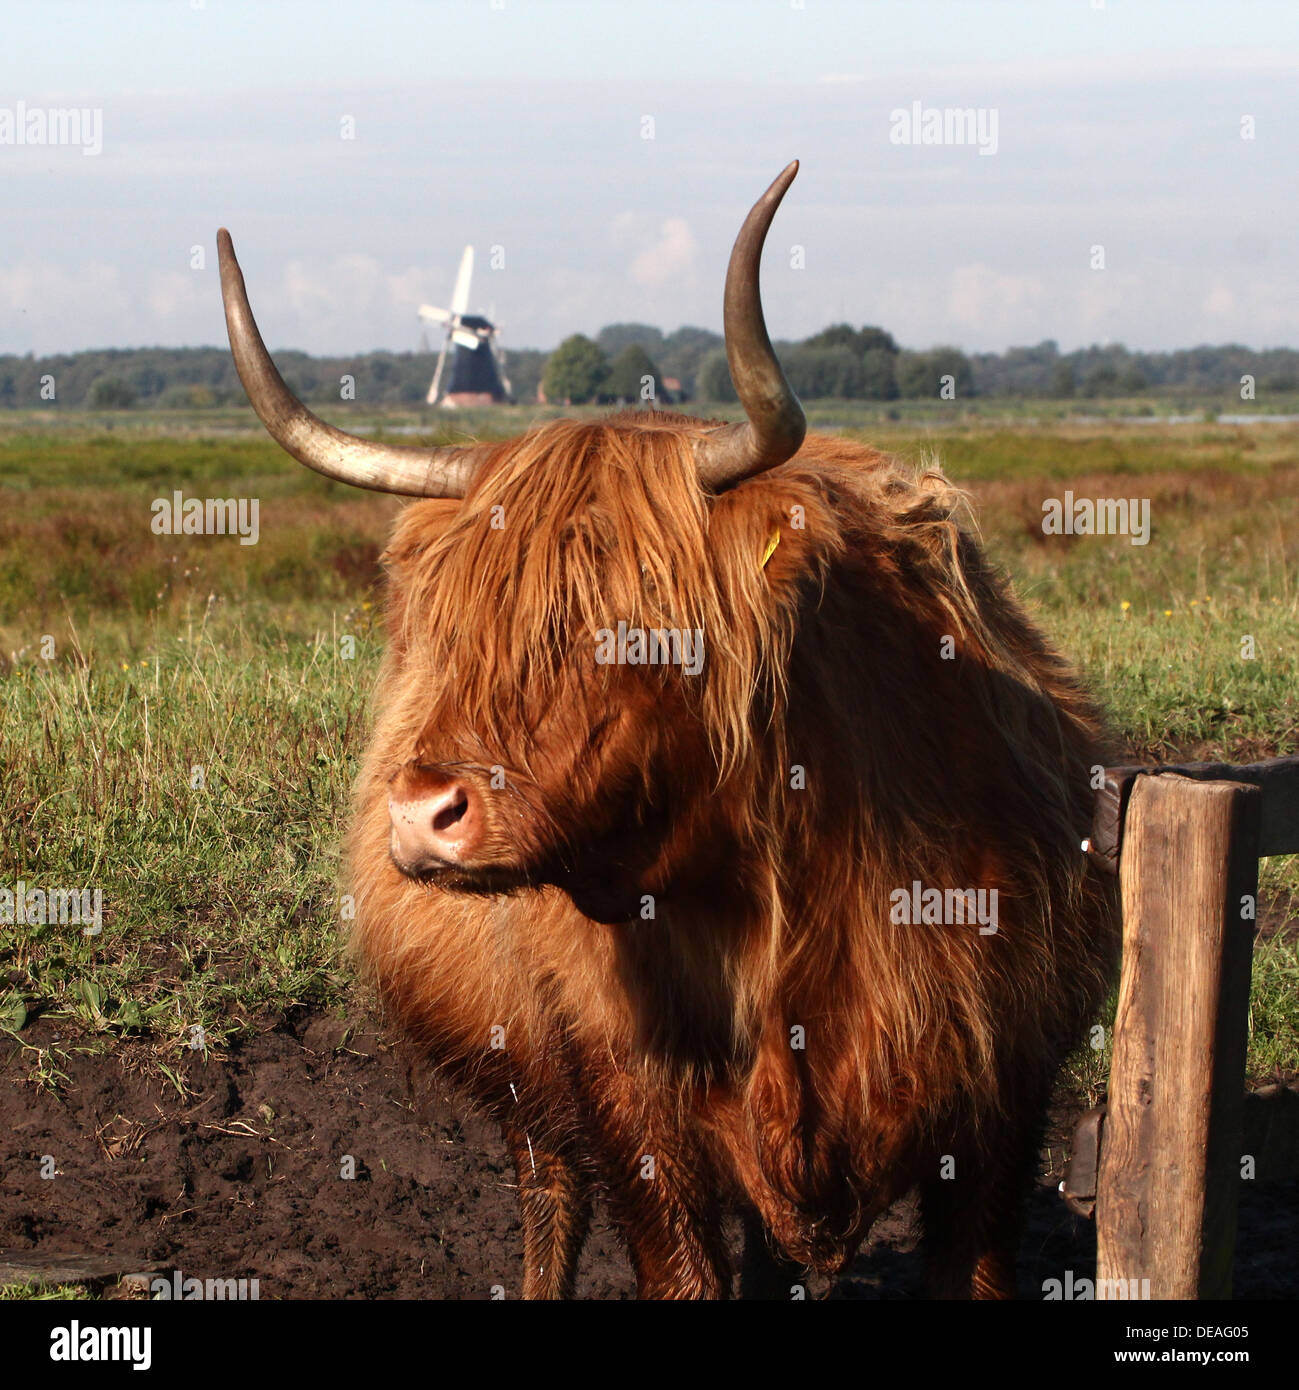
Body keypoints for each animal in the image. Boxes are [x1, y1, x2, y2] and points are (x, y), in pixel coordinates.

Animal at [218, 162, 1119, 1299]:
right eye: (454, 626)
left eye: (632, 624)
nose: (425, 812)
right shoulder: (627, 1099)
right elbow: (678, 1265)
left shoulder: (1007, 1096)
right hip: (526, 1082)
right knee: (548, 1194)